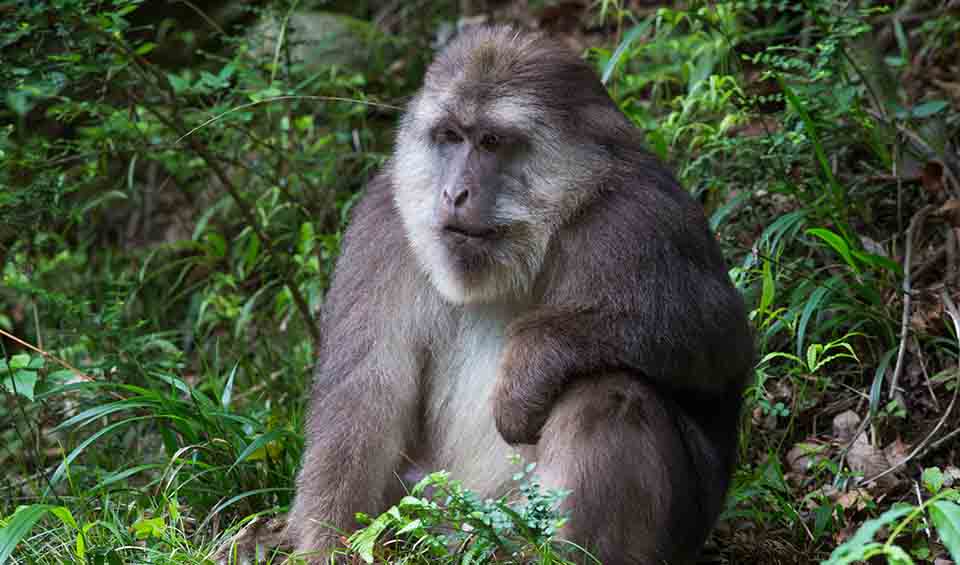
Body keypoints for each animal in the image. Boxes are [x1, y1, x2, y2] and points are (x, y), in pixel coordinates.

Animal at [287, 26, 754, 565]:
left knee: (608, 393)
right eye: (450, 137)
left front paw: (531, 362)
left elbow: (716, 337)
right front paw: (327, 545)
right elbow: (364, 400)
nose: (453, 194)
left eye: (491, 142)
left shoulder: (639, 219)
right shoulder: (383, 228)